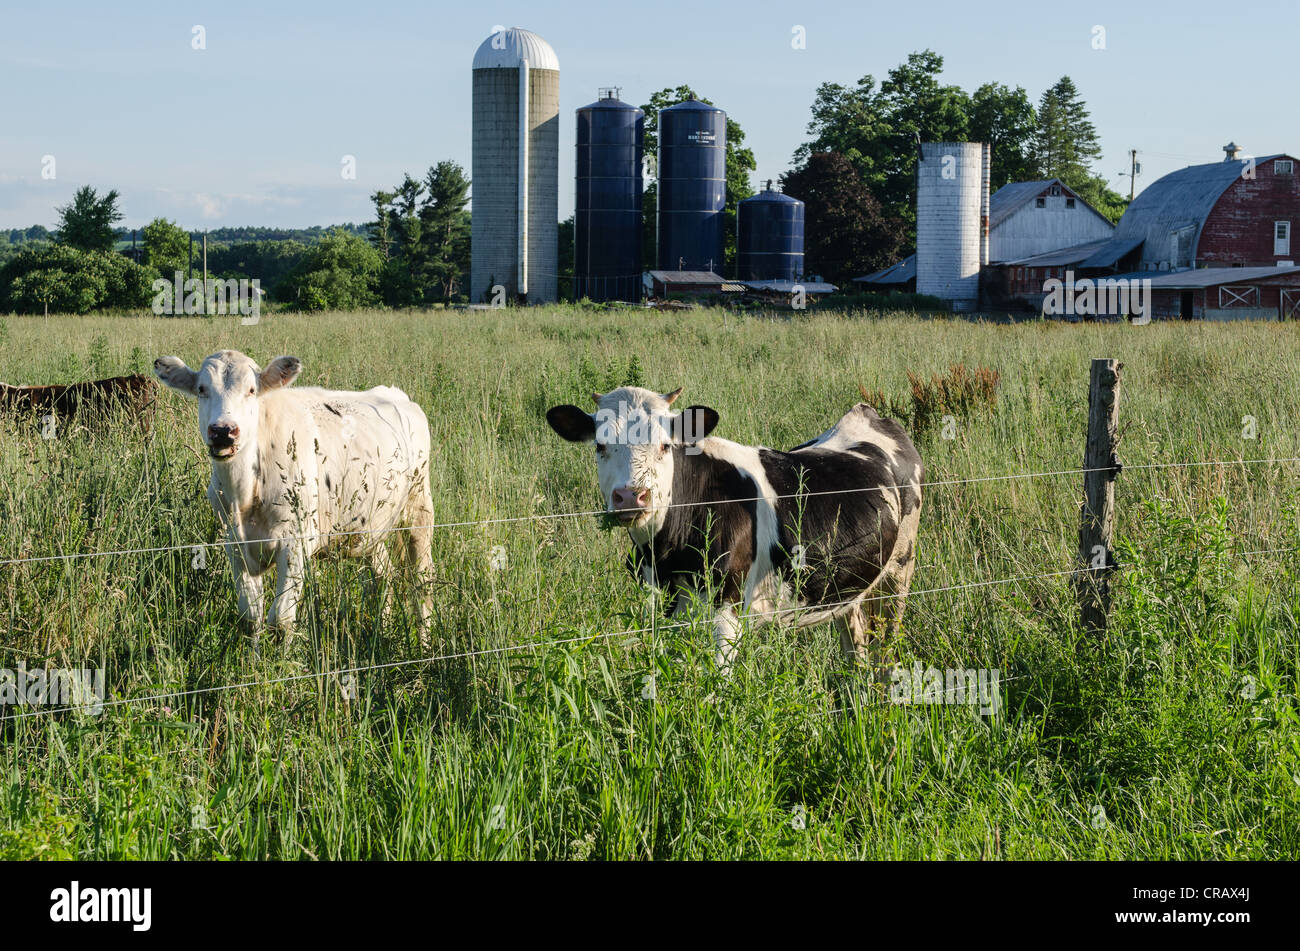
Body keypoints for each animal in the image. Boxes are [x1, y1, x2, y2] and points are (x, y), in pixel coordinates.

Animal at [154, 350, 436, 646]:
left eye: (251, 390)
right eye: (201, 389)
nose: (222, 431)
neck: (245, 494)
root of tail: (395, 395)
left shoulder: (296, 544)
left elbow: (281, 621)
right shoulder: (235, 546)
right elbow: (250, 618)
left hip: (419, 507)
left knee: (422, 581)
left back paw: (424, 644)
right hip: (368, 526)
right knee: (384, 575)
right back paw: (385, 628)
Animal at [545, 387, 923, 674]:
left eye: (665, 445)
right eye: (599, 445)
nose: (630, 496)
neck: (669, 552)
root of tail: (865, 413)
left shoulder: (725, 615)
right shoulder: (667, 609)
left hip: (900, 572)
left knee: (887, 649)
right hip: (850, 587)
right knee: (855, 645)